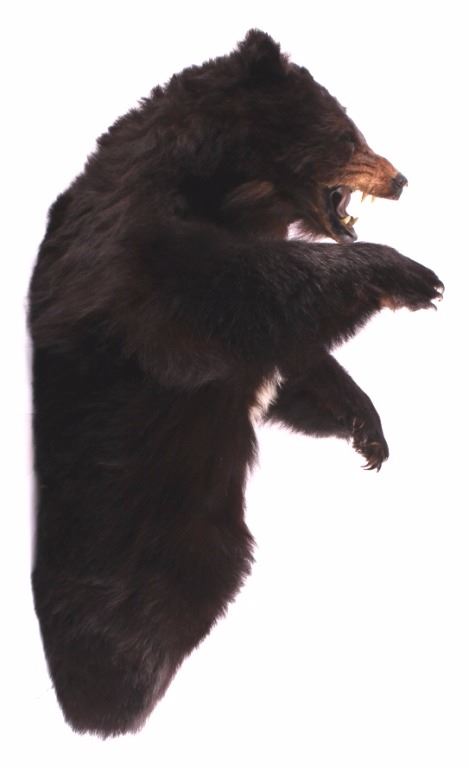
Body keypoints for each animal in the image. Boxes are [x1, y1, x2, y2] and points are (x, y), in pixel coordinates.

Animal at [28, 29, 443, 737]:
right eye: (347, 136)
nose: (401, 178)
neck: (233, 190)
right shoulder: (133, 262)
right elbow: (225, 295)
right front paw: (409, 276)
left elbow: (292, 358)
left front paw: (368, 429)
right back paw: (110, 708)